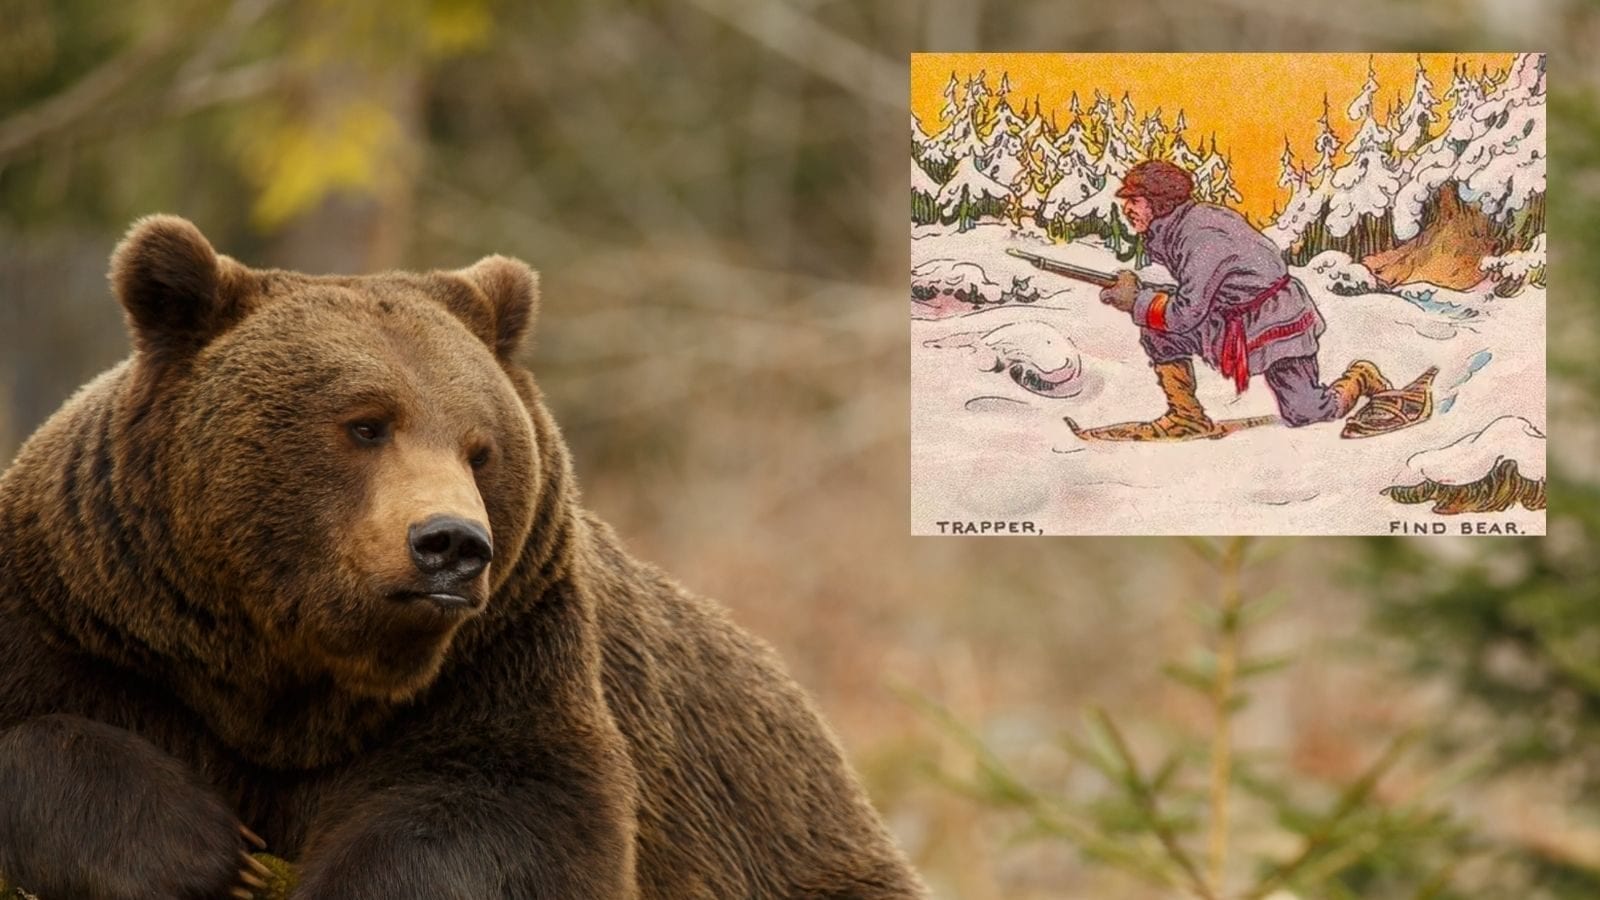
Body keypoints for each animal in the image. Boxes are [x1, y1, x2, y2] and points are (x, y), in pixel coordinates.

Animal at [0, 215, 925, 899]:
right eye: (365, 424)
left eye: (481, 449)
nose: (450, 544)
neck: (287, 674)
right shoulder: (91, 622)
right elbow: (40, 735)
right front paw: (205, 848)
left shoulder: (503, 660)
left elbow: (509, 816)